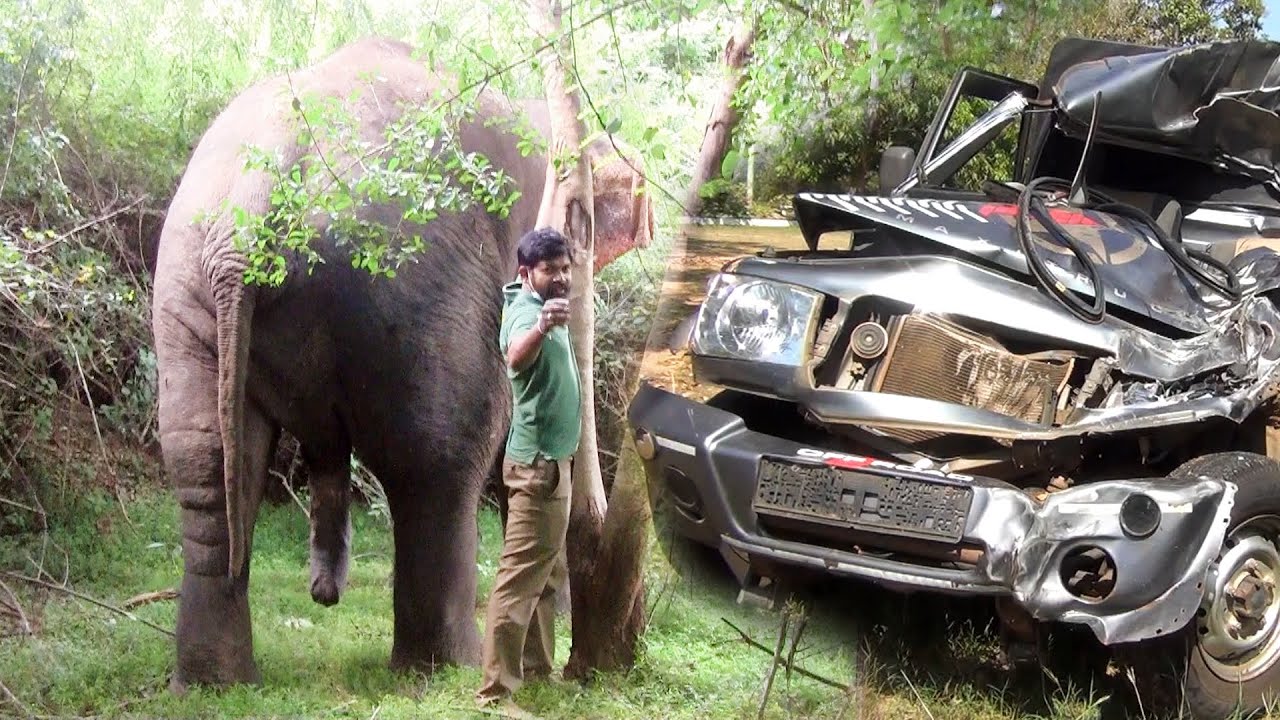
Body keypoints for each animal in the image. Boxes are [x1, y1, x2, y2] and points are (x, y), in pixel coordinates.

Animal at [151, 35, 654, 691]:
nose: (325, 593)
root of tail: (252, 209)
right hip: (414, 283)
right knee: (438, 457)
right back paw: (449, 665)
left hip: (186, 280)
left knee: (203, 462)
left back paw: (217, 682)